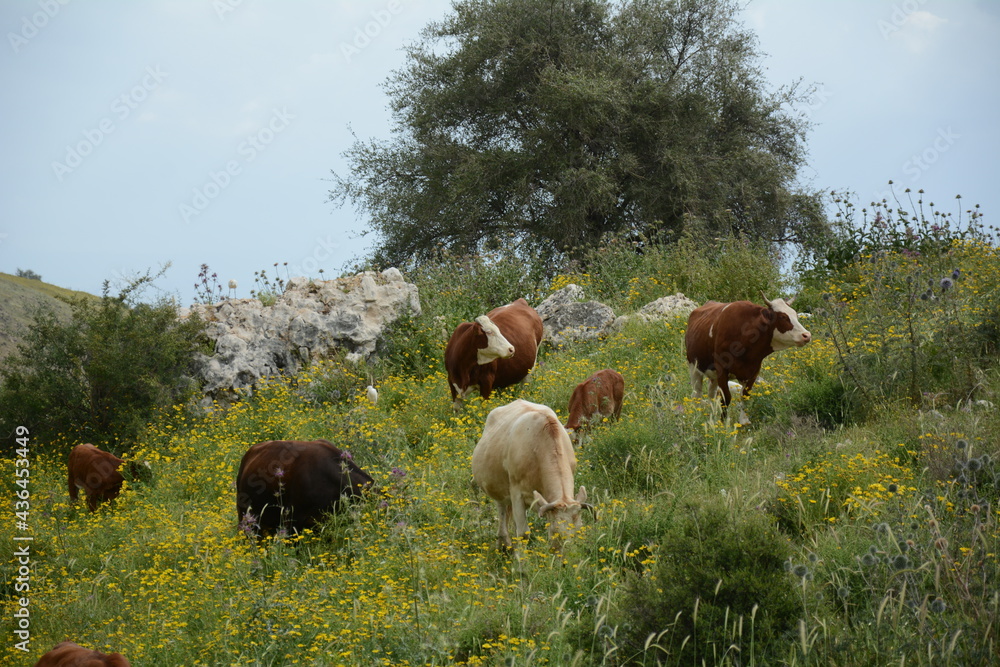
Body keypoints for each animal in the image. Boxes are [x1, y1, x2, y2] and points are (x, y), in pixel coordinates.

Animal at [472, 399, 595, 551]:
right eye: (556, 533)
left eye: (579, 531)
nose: (570, 557)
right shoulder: (516, 493)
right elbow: (523, 534)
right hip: (497, 486)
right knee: (502, 511)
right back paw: (503, 544)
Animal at [685, 294, 811, 423]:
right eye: (783, 317)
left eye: (796, 315)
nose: (807, 335)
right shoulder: (722, 370)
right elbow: (726, 398)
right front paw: (722, 423)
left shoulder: (753, 371)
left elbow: (745, 396)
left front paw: (744, 421)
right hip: (693, 366)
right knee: (696, 394)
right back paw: (696, 415)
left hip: (712, 374)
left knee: (711, 393)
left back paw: (712, 415)